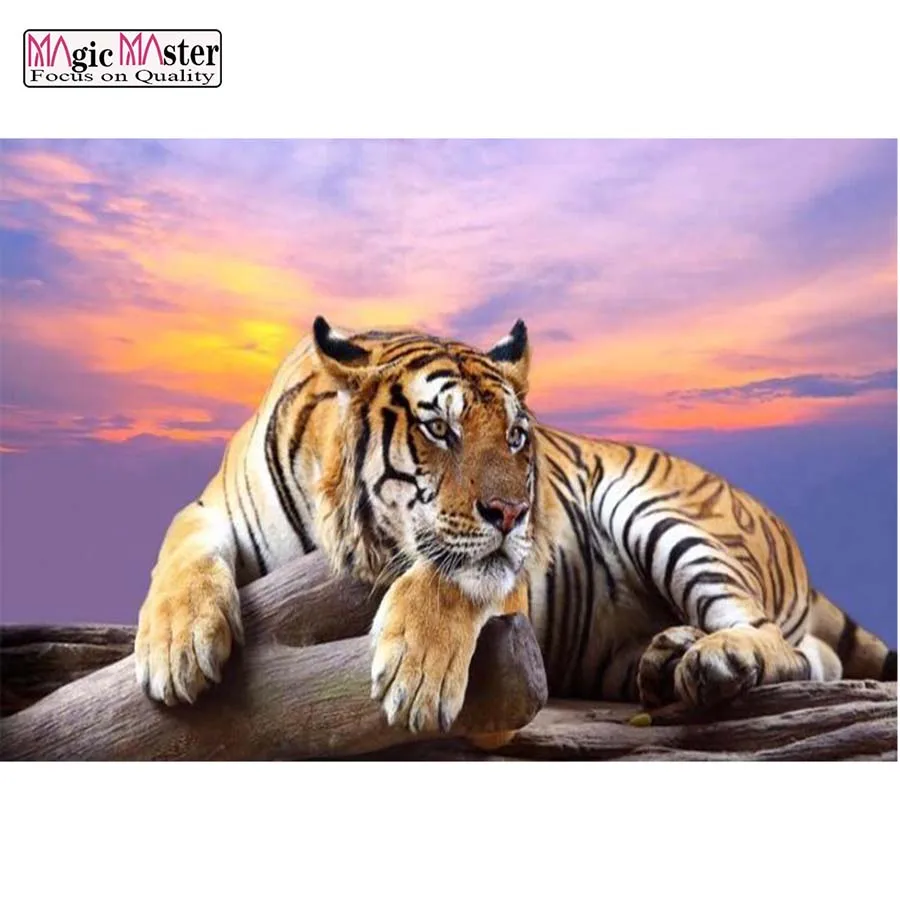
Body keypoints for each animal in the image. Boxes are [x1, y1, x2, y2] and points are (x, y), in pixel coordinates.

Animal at [135, 316, 897, 738]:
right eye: (439, 429)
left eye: (516, 436)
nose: (513, 513)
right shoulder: (210, 509)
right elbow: (179, 550)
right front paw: (175, 650)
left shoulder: (506, 569)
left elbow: (451, 578)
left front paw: (416, 677)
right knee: (814, 656)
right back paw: (669, 655)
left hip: (658, 511)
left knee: (782, 643)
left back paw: (716, 660)